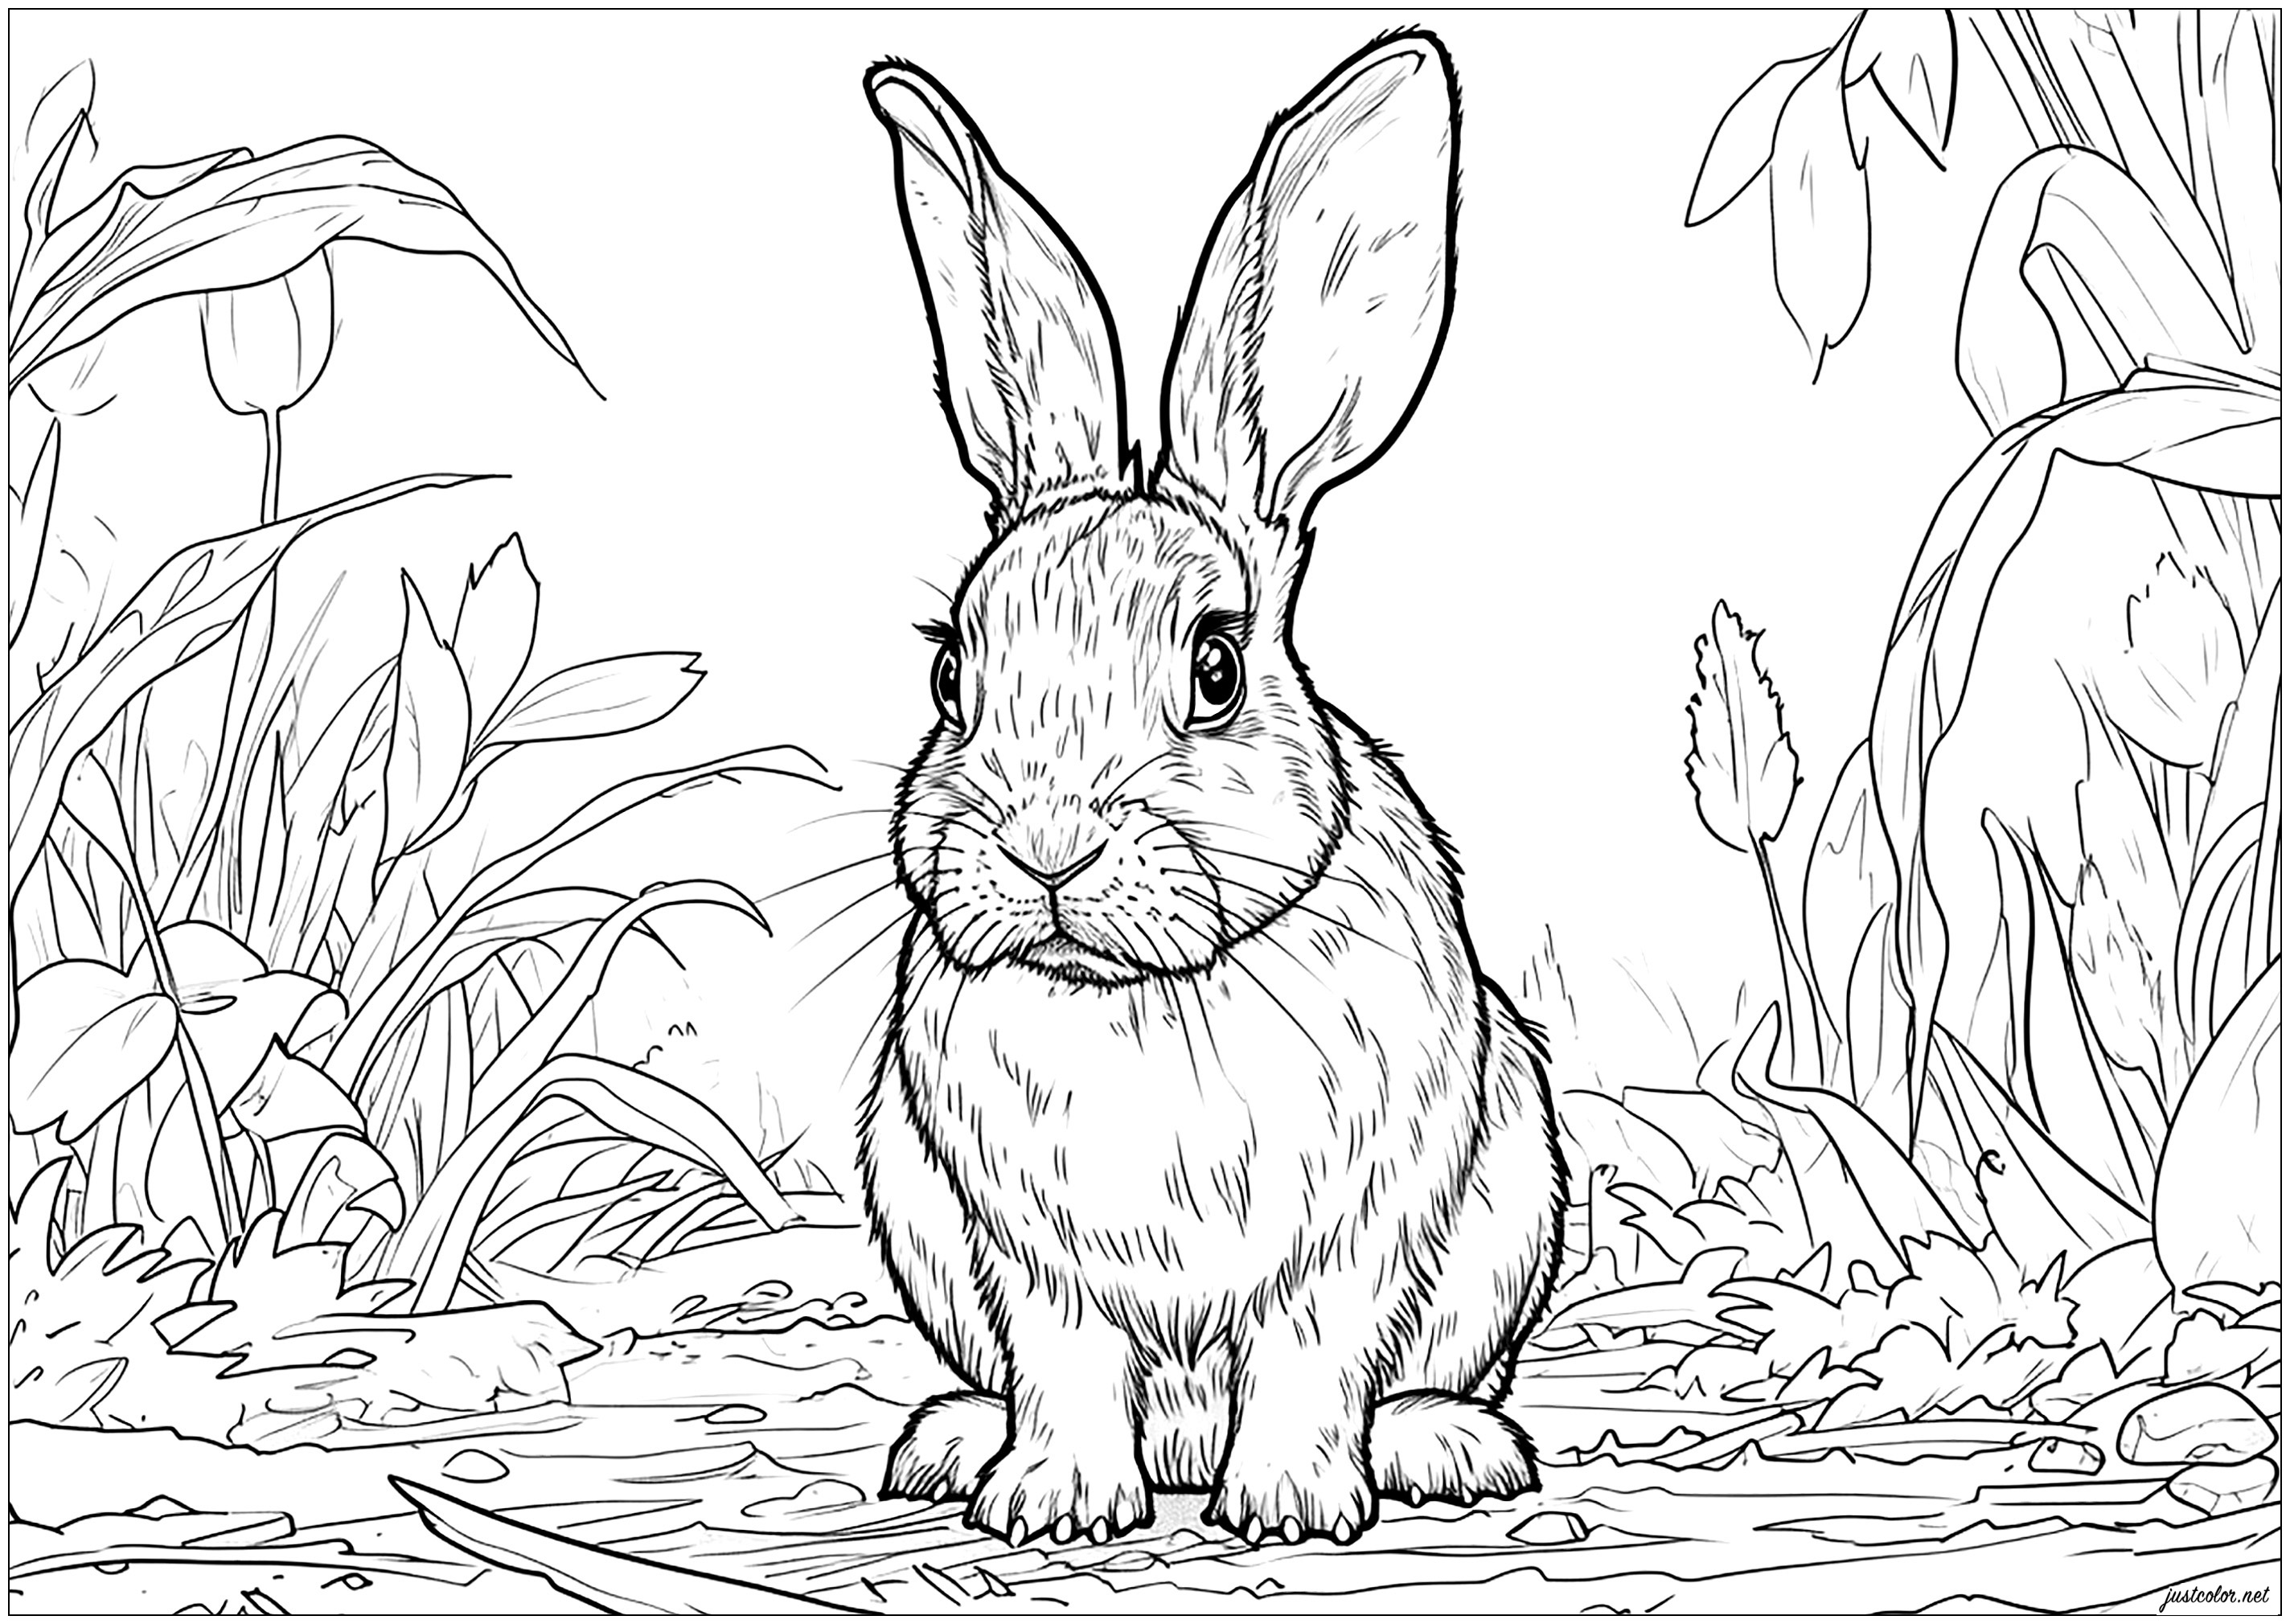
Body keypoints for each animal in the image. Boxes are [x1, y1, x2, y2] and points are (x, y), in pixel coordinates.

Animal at [857, 30, 1566, 1549]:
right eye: (950, 673)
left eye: (1217, 665)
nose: (1045, 847)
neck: (1135, 997)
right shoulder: (1033, 1268)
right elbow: (1065, 1368)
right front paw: (1053, 1504)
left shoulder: (1349, 1244)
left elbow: (1311, 1356)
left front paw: (1294, 1505)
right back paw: (953, 1442)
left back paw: (1442, 1447)